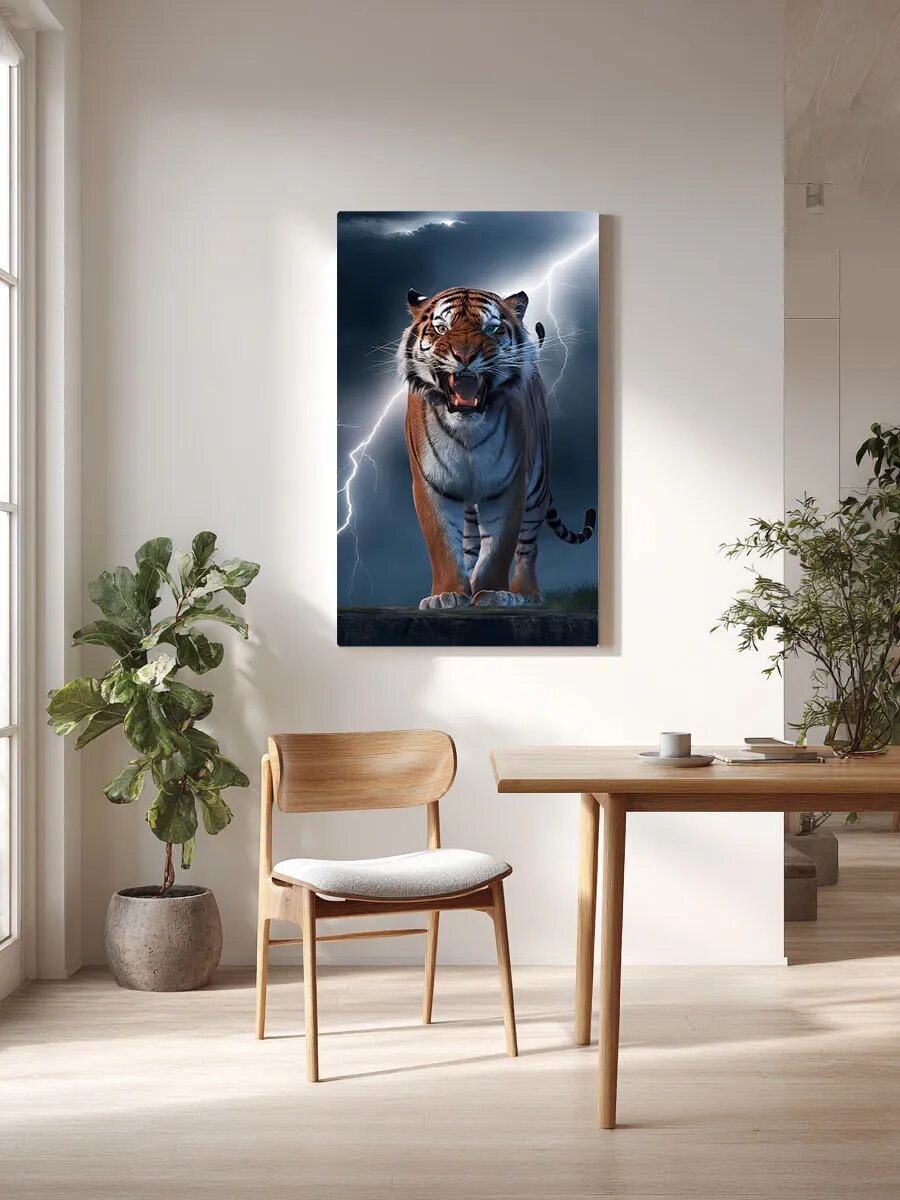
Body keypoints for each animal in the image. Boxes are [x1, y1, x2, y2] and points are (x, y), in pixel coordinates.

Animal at [399, 285, 596, 610]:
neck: (467, 431)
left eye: (490, 328)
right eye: (442, 329)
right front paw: (446, 594)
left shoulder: (508, 484)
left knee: (527, 546)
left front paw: (492, 593)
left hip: (537, 489)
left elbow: (500, 546)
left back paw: (525, 593)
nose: (465, 356)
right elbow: (442, 542)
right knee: (469, 544)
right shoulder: (431, 484)